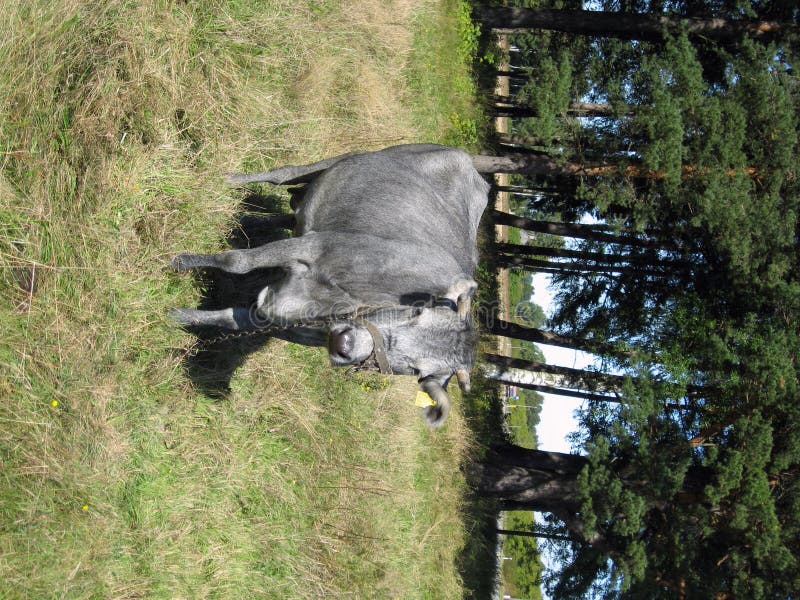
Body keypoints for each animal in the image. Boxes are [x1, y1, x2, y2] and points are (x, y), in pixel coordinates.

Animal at [170, 144, 489, 427]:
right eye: (416, 312)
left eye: (415, 370)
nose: (344, 344)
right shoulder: (316, 245)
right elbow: (235, 261)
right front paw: (178, 262)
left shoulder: (278, 321)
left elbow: (230, 319)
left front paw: (174, 317)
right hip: (356, 157)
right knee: (284, 174)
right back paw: (229, 179)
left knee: (292, 214)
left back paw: (253, 220)